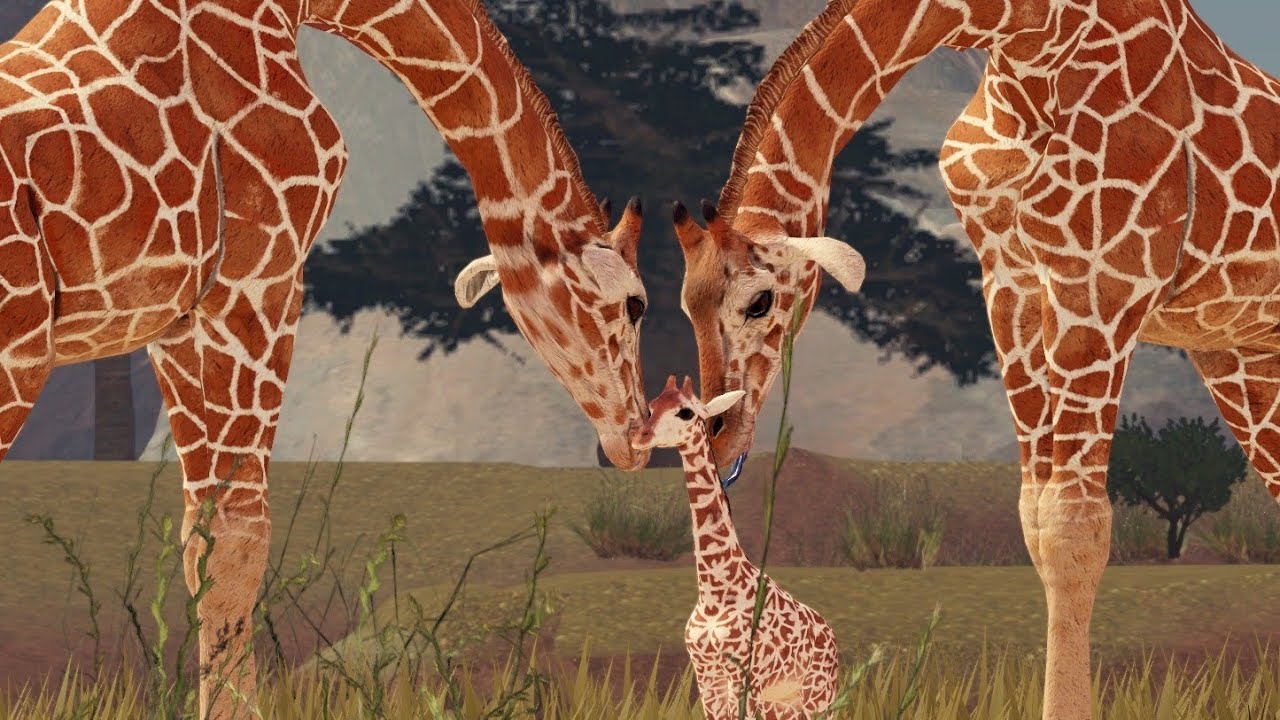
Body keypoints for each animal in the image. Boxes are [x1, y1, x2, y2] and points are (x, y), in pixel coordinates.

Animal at [0, 1, 652, 716]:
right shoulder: (256, 278)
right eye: (636, 304)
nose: (636, 437)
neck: (296, 13)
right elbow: (238, 540)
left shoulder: (176, 321)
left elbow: (199, 537)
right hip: (18, 359)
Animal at [631, 375, 840, 720]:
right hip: (783, 703)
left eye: (685, 412)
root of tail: (831, 636)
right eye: (651, 407)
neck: (715, 592)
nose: (640, 437)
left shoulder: (745, 676)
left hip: (817, 696)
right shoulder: (707, 676)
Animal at [671, 0, 1280, 718]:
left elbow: (1076, 529)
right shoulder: (1009, 287)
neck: (1021, 37)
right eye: (683, 304)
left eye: (760, 301)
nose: (718, 434)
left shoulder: (1102, 288)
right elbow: (1036, 522)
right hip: (1235, 351)